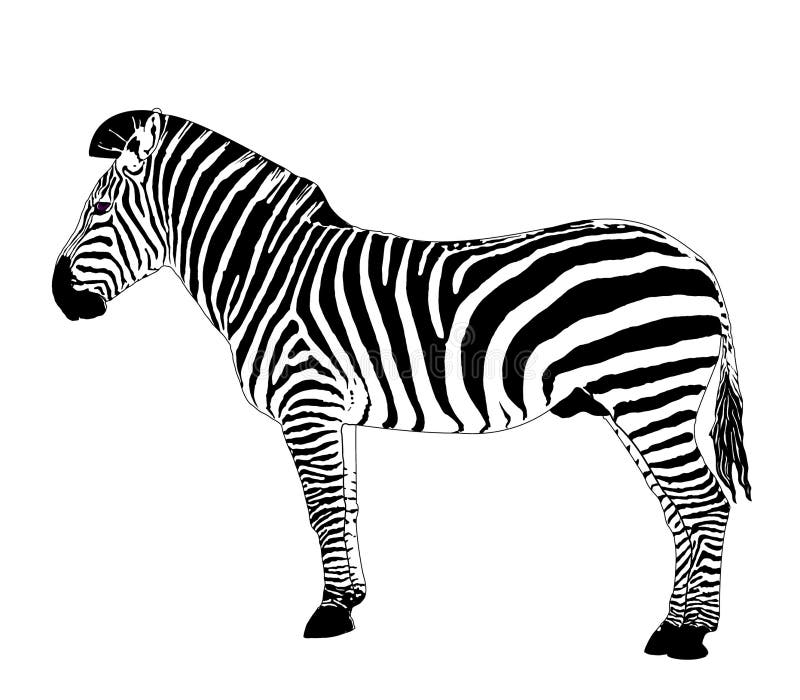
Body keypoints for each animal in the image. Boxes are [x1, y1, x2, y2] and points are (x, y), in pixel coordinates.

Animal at [53, 109, 749, 659]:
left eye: (100, 210)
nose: (59, 297)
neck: (268, 271)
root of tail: (697, 260)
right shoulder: (334, 410)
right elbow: (345, 505)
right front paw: (351, 600)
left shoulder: (306, 399)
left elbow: (321, 508)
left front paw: (329, 615)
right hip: (635, 401)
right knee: (680, 511)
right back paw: (684, 623)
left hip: (648, 391)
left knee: (705, 503)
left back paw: (685, 636)